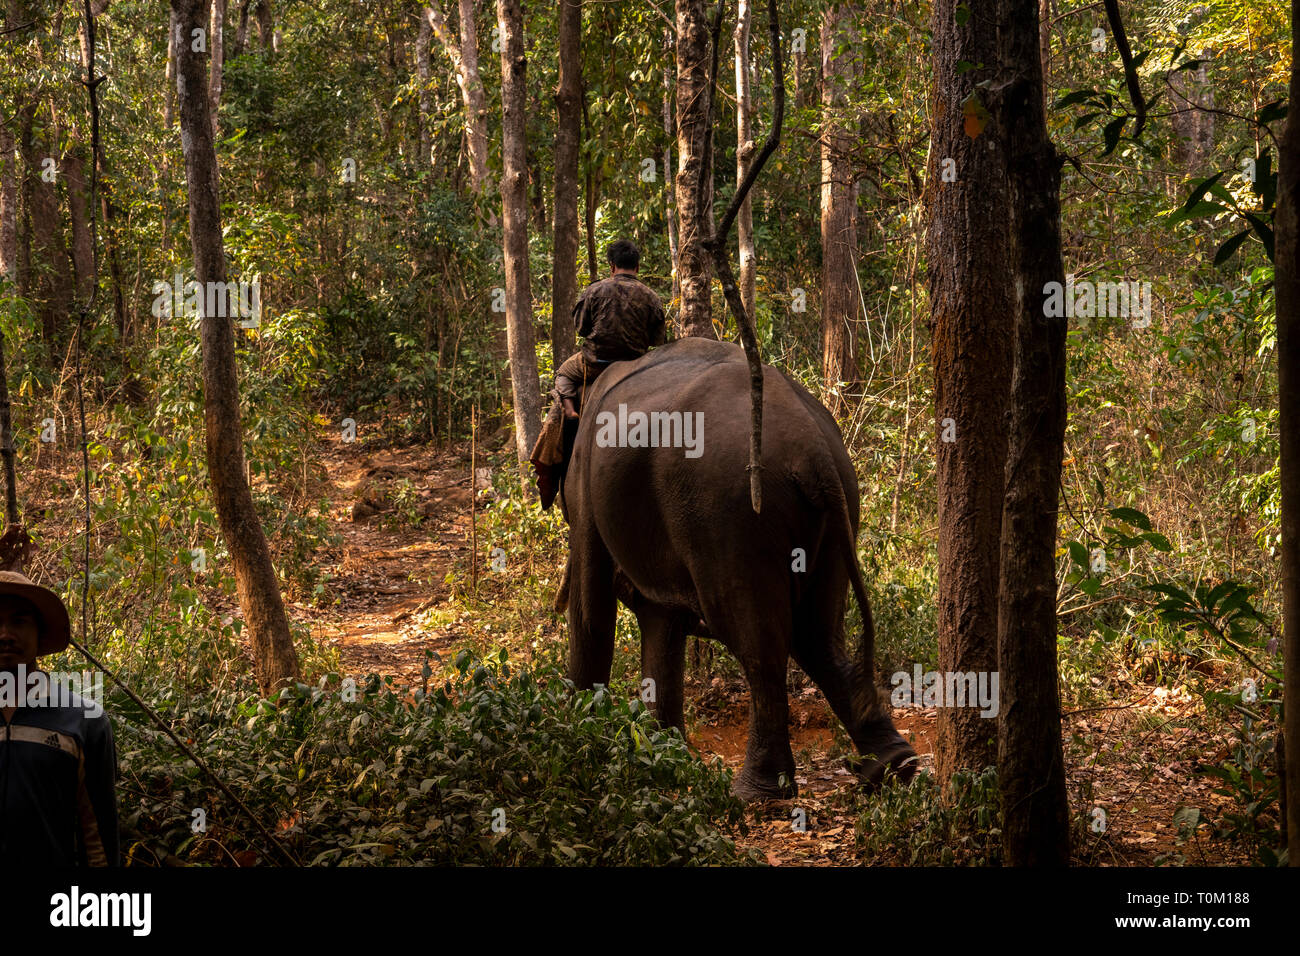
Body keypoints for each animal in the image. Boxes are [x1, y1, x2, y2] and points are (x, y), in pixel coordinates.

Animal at [555, 336, 917, 801]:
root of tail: (813, 449)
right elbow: (661, 621)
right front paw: (665, 756)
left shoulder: (585, 484)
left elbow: (591, 610)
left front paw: (579, 735)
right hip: (837, 515)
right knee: (819, 634)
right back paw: (893, 766)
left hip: (731, 515)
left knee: (757, 639)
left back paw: (756, 793)